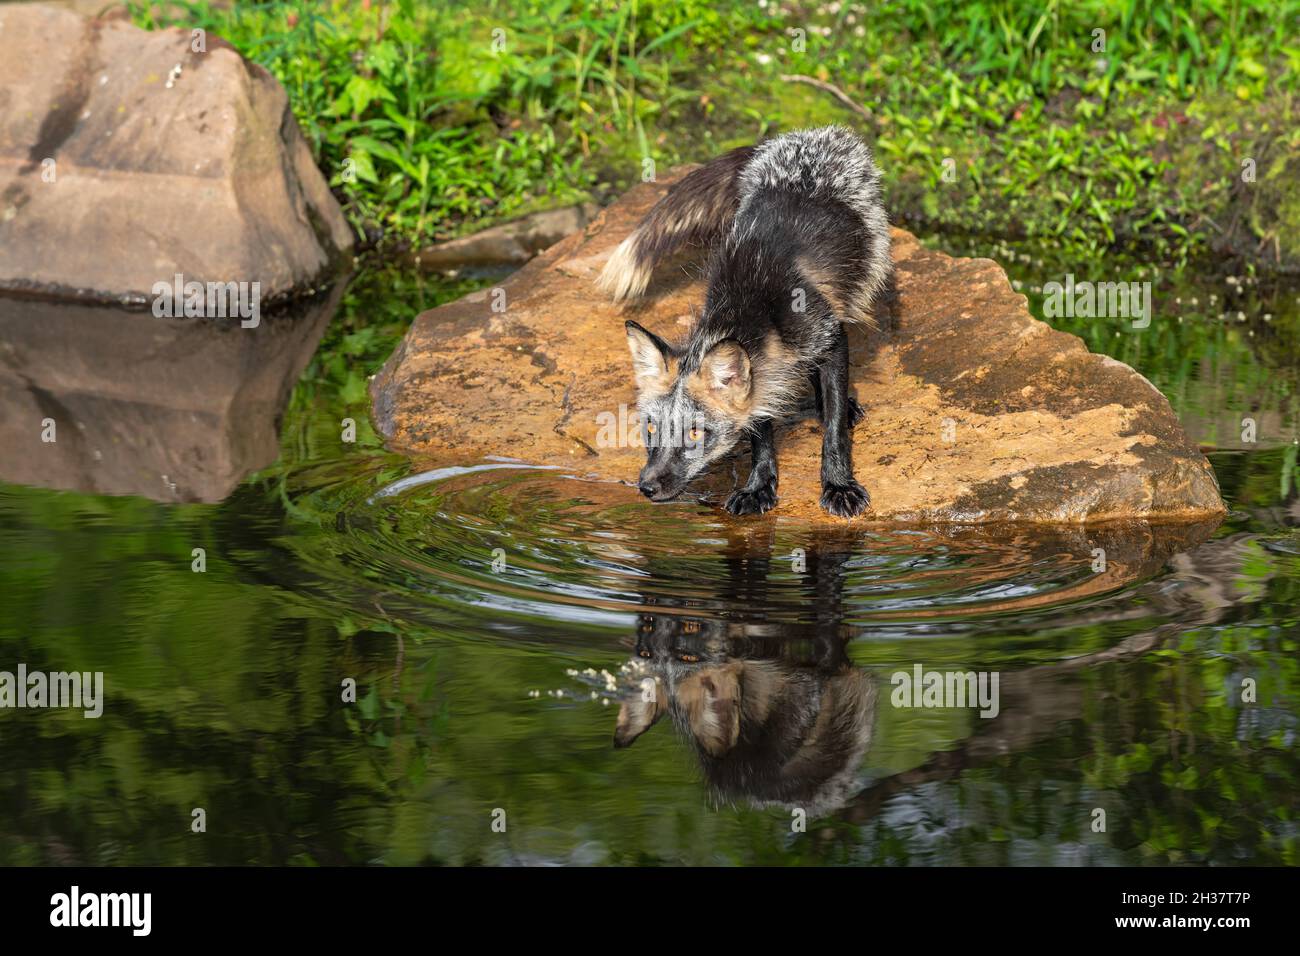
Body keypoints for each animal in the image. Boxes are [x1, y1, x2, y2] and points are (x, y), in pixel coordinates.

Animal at [596, 125, 893, 518]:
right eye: (651, 429)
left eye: (695, 433)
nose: (646, 487)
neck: (751, 300)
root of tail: (795, 136)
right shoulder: (761, 375)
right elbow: (760, 430)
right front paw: (759, 486)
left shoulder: (828, 335)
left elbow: (833, 430)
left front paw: (838, 483)